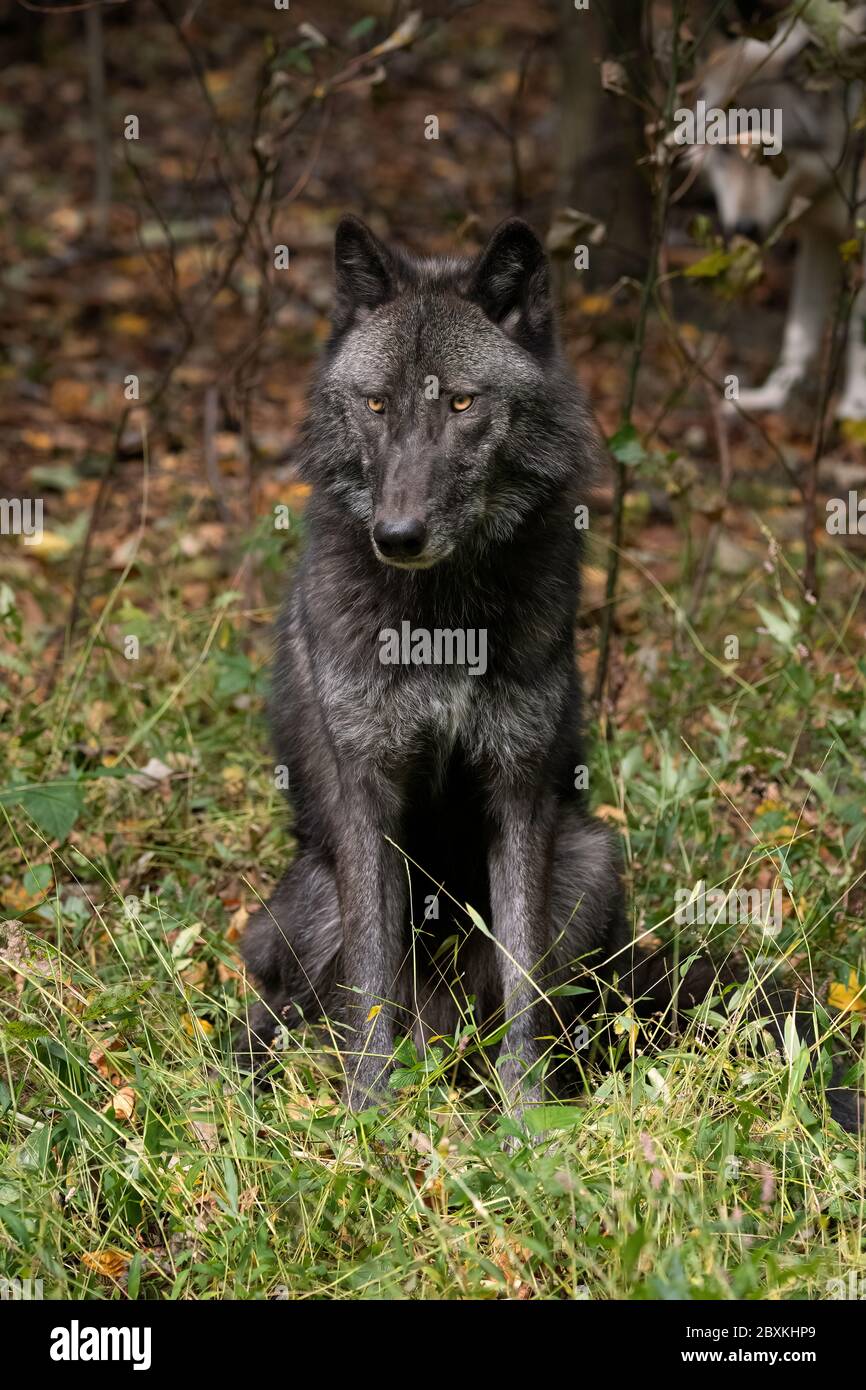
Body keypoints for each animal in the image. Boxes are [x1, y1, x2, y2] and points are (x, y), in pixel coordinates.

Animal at [694, 11, 866, 418]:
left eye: (771, 150)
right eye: (725, 151)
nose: (744, 228)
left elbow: (858, 338)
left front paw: (855, 411)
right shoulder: (820, 237)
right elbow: (799, 332)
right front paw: (772, 396)